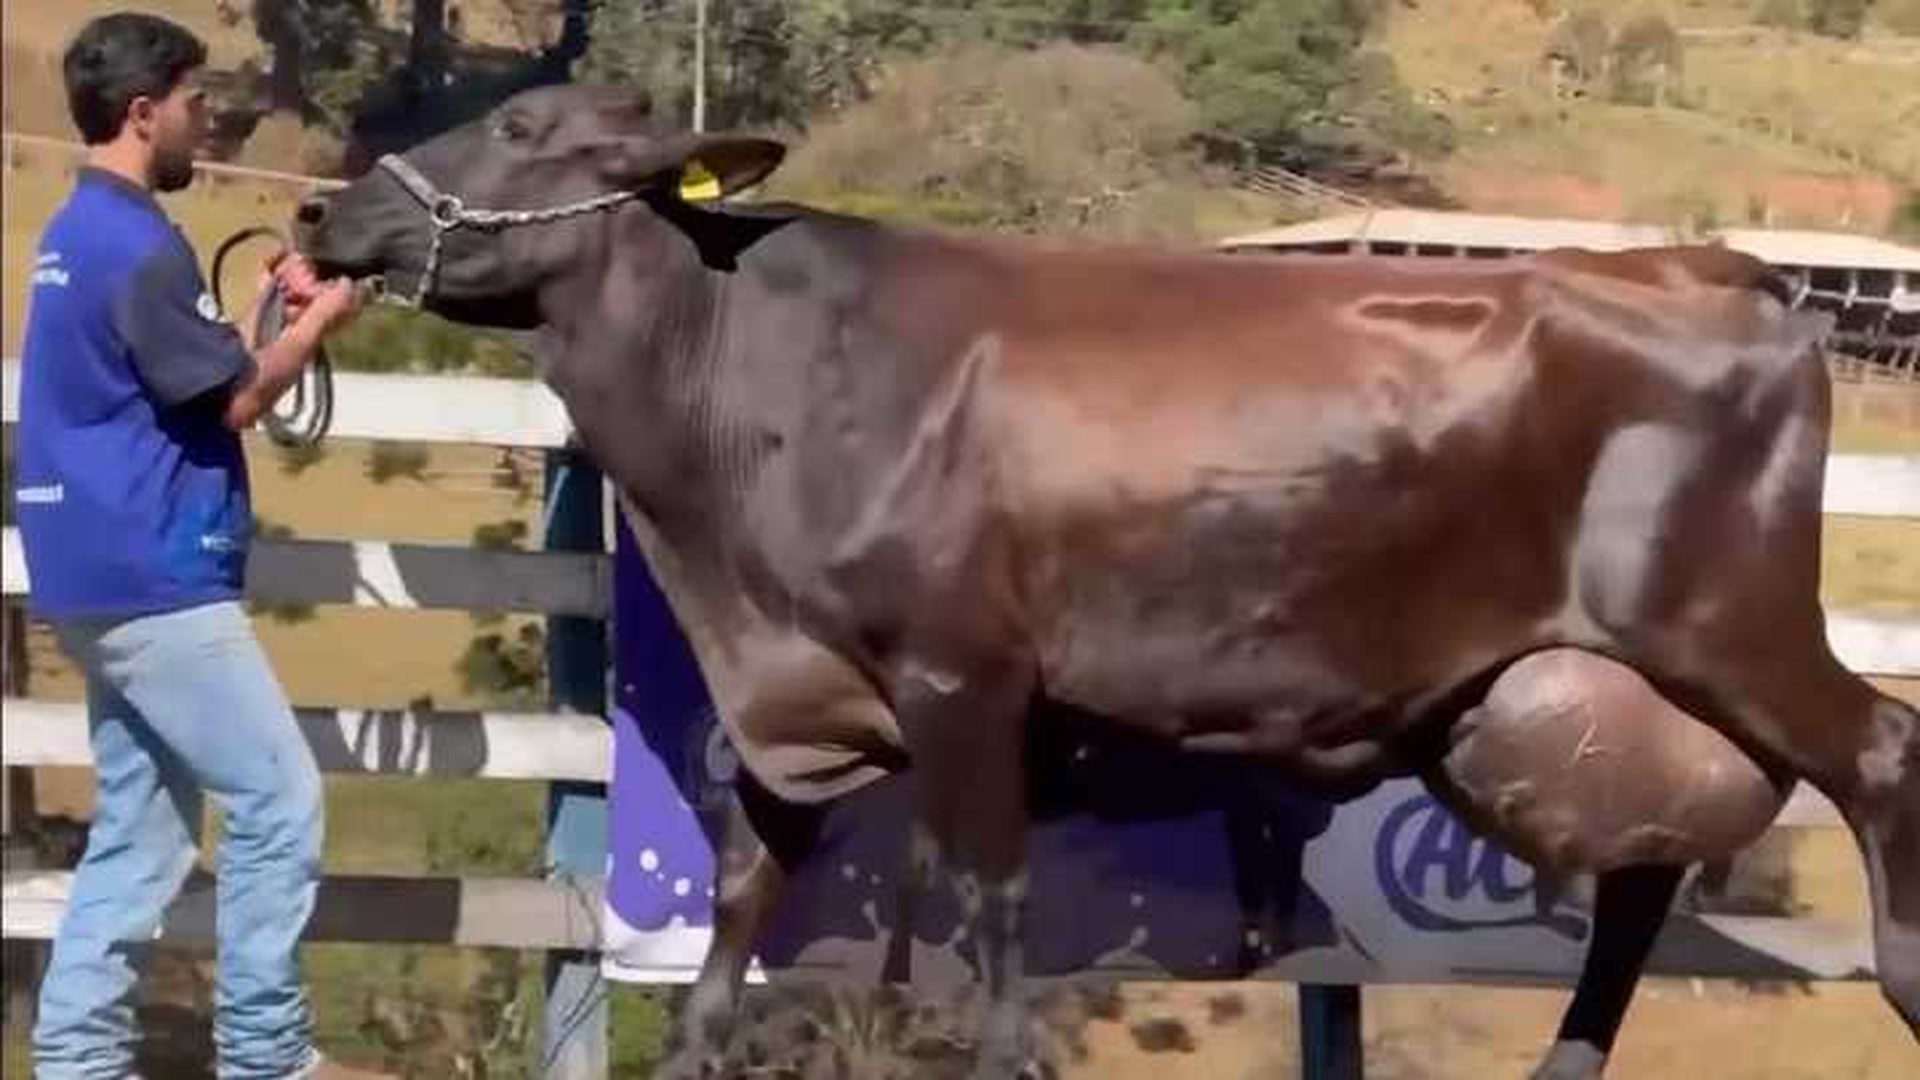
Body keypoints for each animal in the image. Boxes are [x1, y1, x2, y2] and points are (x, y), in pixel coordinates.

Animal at [295, 85, 1919, 1078]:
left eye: (520, 125)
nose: (323, 215)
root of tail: (1701, 266)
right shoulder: (792, 701)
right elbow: (737, 922)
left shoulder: (965, 678)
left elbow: (991, 918)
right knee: (1645, 864)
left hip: (1727, 623)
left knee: (1884, 755)